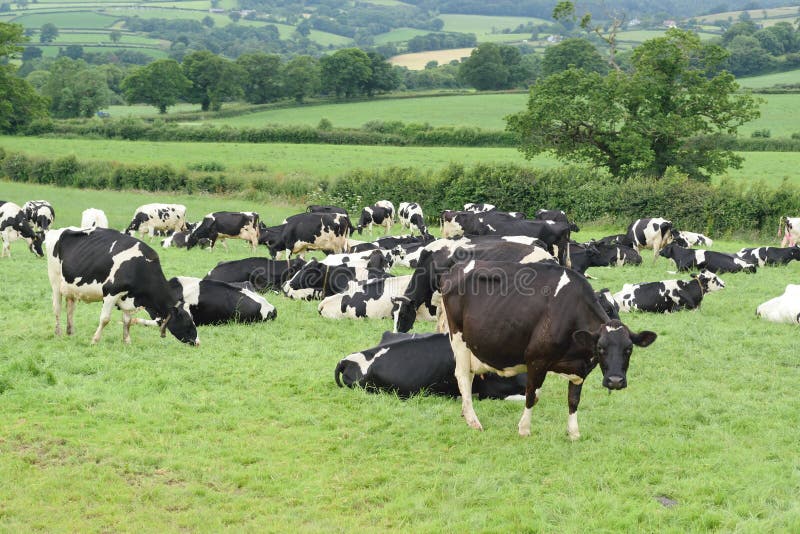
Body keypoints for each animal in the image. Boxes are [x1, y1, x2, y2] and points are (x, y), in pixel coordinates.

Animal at [45, 227, 198, 345]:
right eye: (187, 322)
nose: (197, 342)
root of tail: (58, 230)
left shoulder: (128, 297)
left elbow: (127, 321)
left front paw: (127, 341)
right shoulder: (111, 293)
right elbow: (105, 319)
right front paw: (95, 340)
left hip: (71, 287)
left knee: (70, 308)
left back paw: (70, 332)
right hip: (55, 281)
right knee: (57, 308)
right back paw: (58, 333)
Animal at [440, 260, 657, 437]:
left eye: (628, 349)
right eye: (601, 348)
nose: (615, 381)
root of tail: (456, 268)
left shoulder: (580, 369)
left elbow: (573, 400)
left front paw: (573, 433)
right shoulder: (536, 360)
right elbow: (531, 395)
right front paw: (524, 429)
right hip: (459, 339)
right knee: (463, 376)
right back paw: (473, 421)